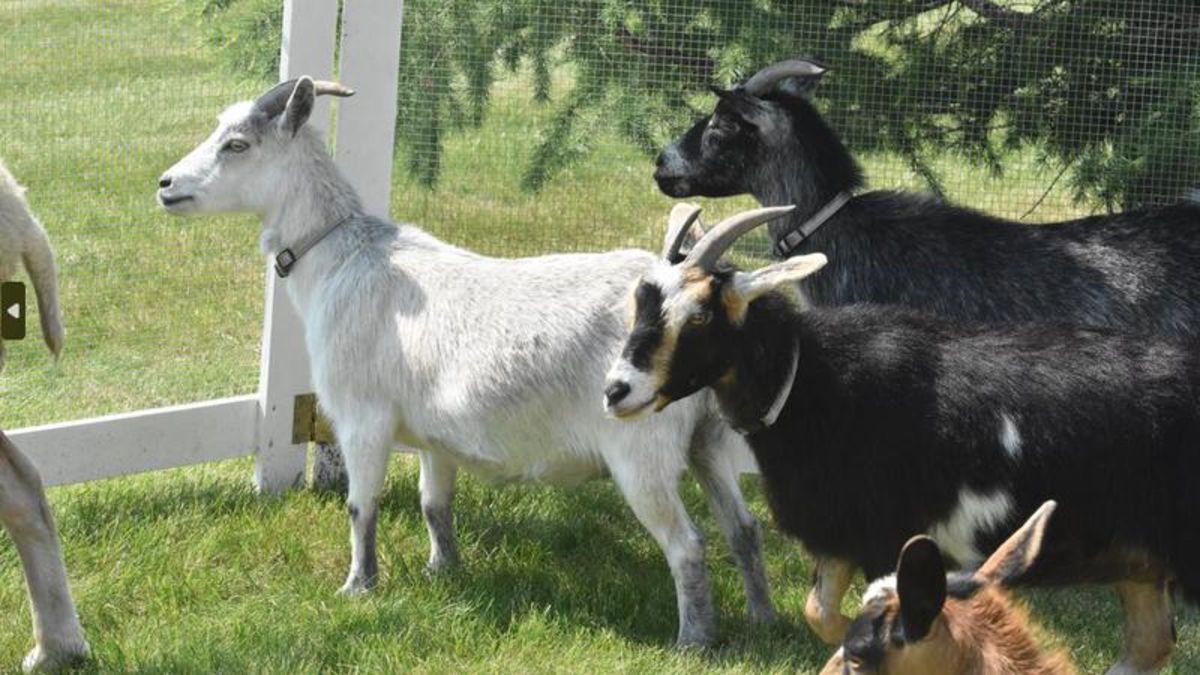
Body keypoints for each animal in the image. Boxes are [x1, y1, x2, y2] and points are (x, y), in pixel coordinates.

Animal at [154, 77, 775, 647]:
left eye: (237, 144)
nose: (165, 185)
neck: (344, 258)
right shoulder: (436, 436)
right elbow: (434, 504)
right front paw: (441, 571)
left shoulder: (362, 417)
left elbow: (360, 505)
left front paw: (358, 587)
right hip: (709, 437)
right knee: (743, 529)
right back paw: (762, 619)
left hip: (640, 447)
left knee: (688, 544)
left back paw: (694, 641)